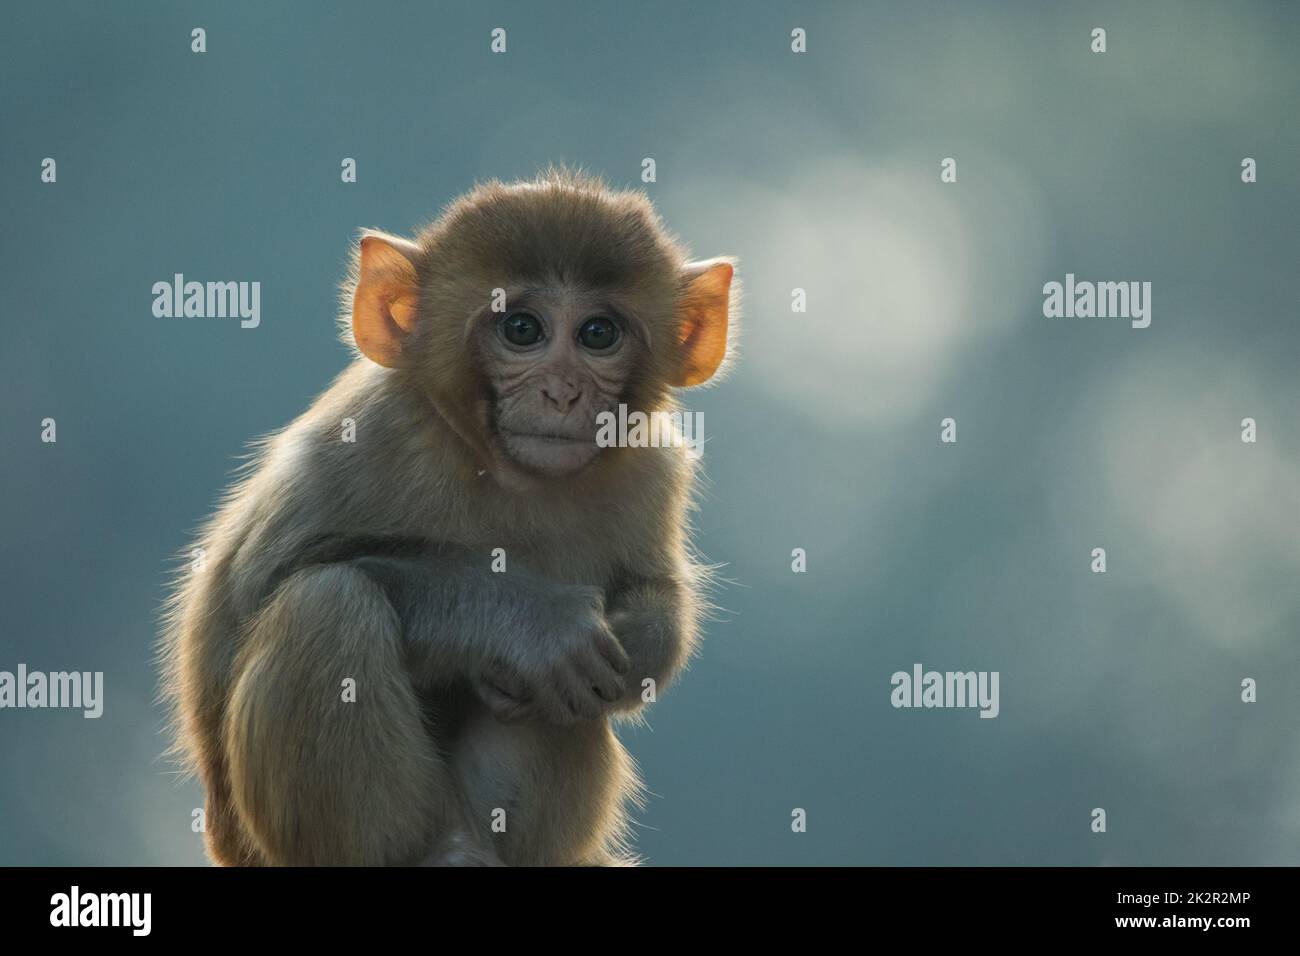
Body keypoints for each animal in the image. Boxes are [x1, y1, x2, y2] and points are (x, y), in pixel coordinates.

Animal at [160, 168, 739, 866]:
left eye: (599, 334)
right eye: (522, 329)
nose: (563, 393)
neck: (504, 471)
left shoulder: (654, 467)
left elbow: (656, 593)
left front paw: (641, 642)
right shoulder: (365, 436)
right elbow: (247, 602)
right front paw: (531, 626)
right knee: (325, 601)